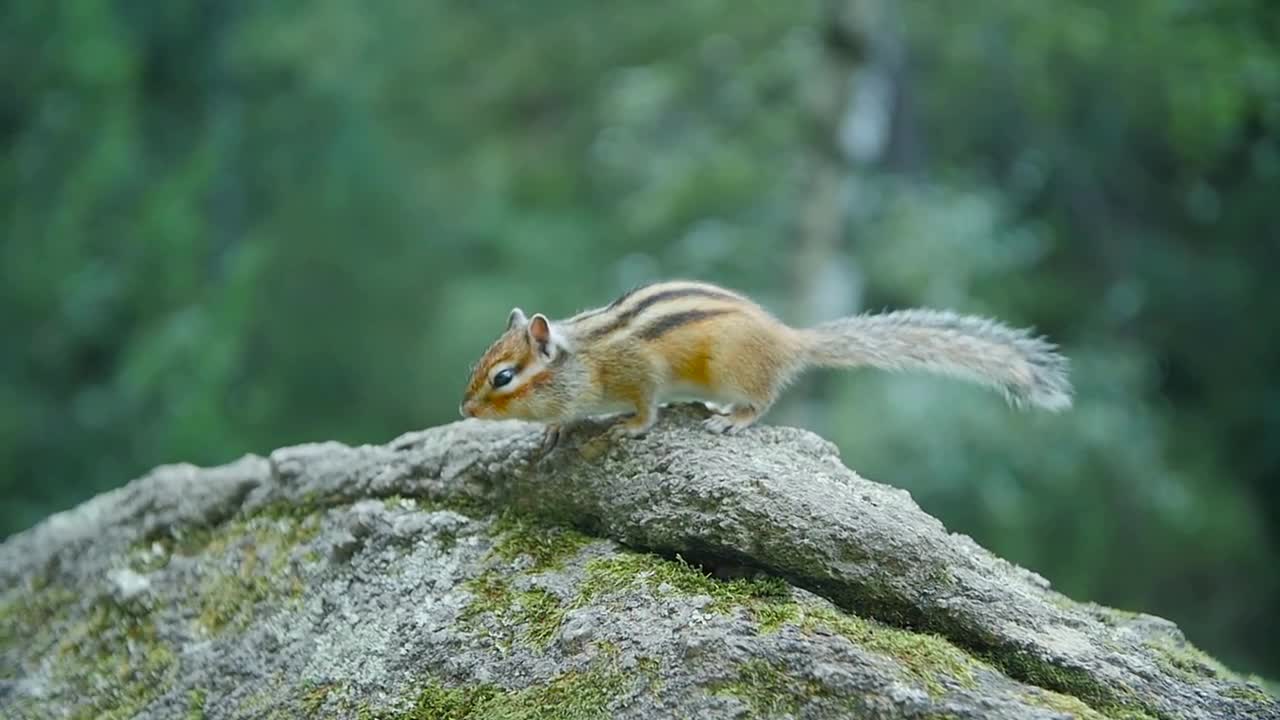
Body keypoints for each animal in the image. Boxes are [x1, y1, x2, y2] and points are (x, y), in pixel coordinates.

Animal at [459, 280, 1071, 448]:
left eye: (503, 377)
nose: (464, 410)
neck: (583, 357)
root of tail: (788, 341)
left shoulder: (637, 372)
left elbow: (645, 406)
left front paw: (629, 427)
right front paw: (554, 429)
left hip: (736, 368)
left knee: (761, 401)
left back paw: (732, 418)